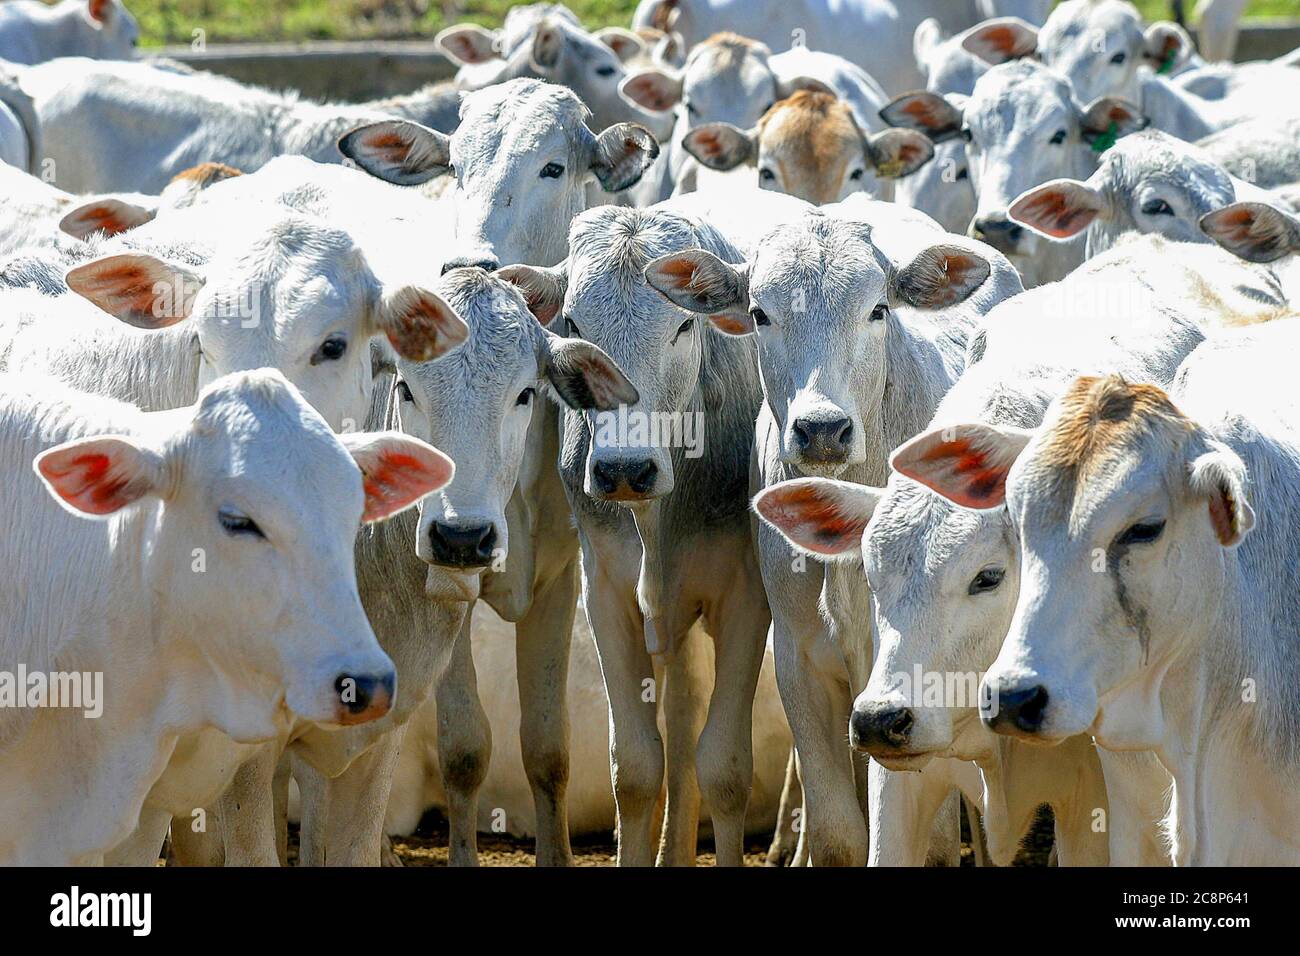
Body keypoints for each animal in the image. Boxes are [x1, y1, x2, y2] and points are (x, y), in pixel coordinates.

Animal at [642, 199, 1020, 865]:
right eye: (760, 313)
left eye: (877, 309)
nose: (822, 428)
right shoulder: (802, 665)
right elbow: (840, 834)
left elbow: (934, 841)